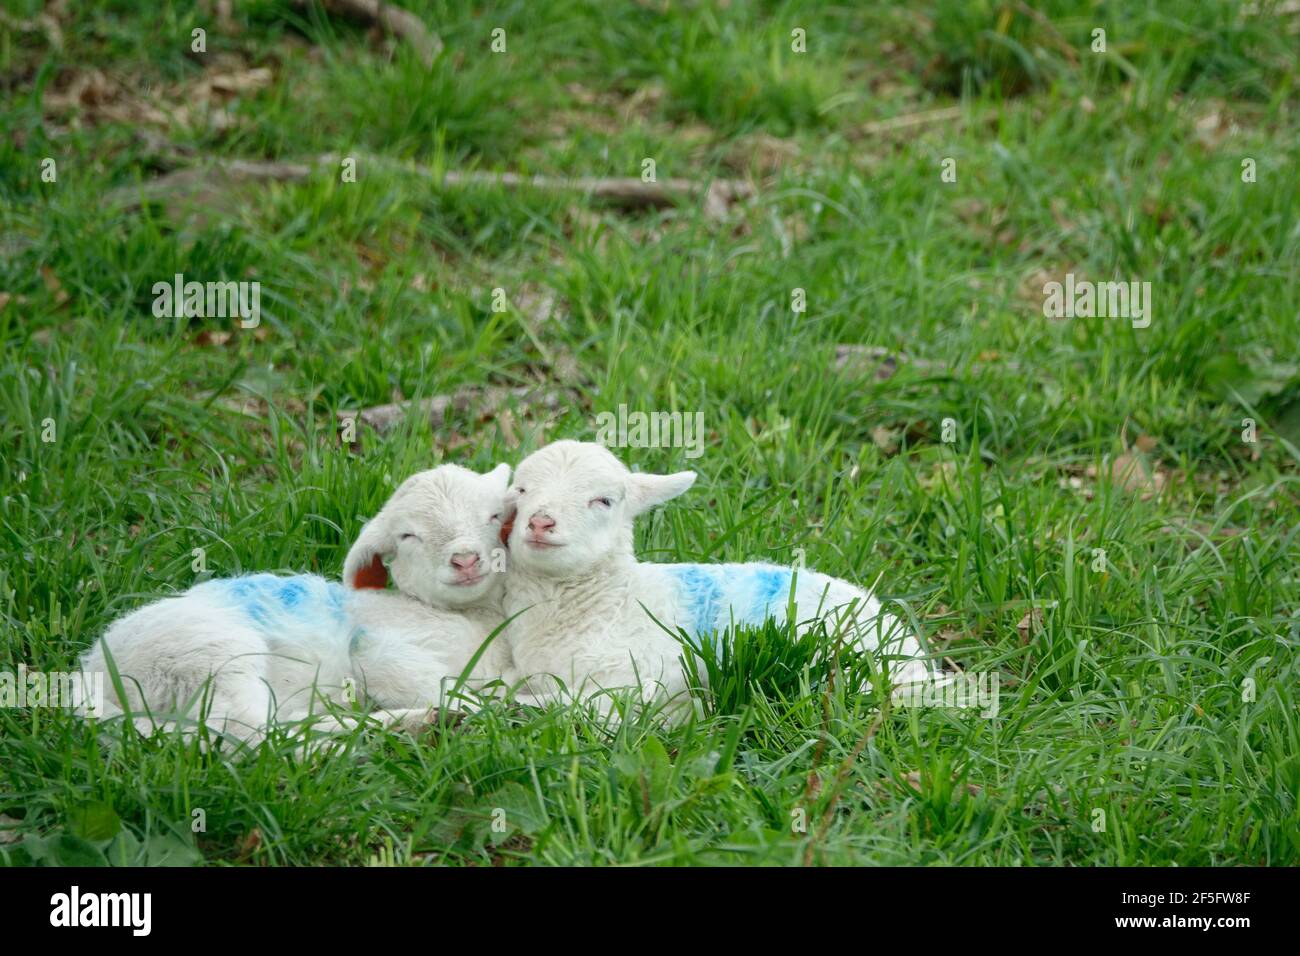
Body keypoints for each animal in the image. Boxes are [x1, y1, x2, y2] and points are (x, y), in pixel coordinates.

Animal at [78, 462, 515, 743]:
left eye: (494, 516)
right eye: (408, 536)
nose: (465, 559)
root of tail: (92, 673)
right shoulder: (378, 651)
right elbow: (451, 688)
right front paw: (505, 707)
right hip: (208, 656)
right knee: (252, 736)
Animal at [500, 440, 936, 715]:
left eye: (603, 500)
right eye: (520, 491)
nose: (540, 522)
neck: (610, 603)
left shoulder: (645, 676)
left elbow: (581, 703)